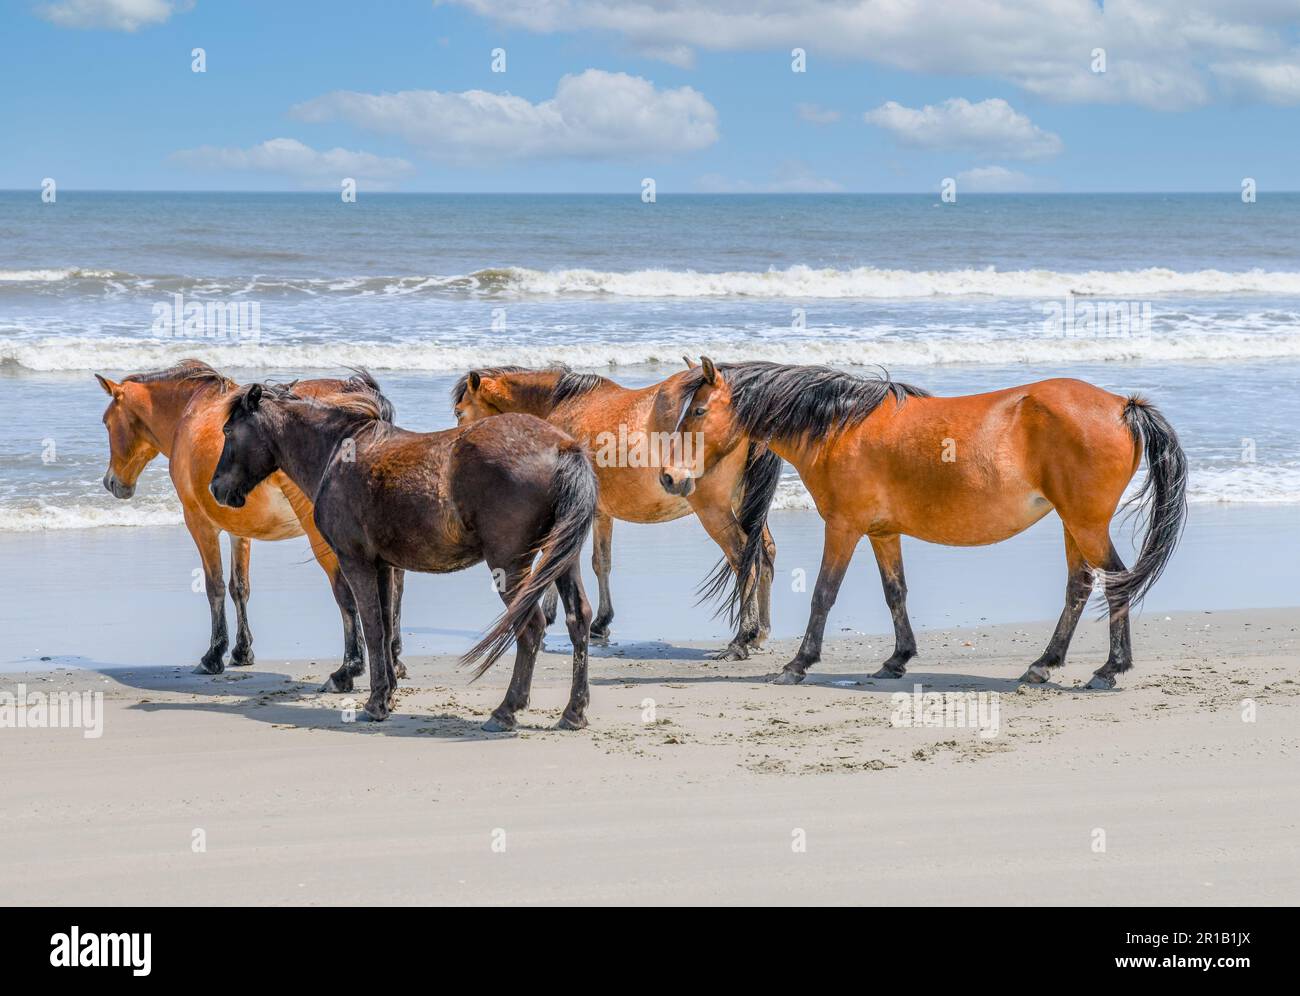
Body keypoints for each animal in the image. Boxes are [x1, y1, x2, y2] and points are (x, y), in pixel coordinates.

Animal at [96, 359, 403, 687]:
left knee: (348, 593)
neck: (189, 414)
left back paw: (348, 668)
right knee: (393, 588)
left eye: (106, 422)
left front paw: (213, 655)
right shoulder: (238, 530)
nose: (111, 482)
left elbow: (215, 586)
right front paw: (242, 651)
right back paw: (393, 658)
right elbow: (239, 587)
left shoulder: (199, 522)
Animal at [210, 381, 597, 729]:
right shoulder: (383, 566)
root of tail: (563, 447)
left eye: (228, 430)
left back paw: (506, 711)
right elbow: (384, 625)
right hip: (560, 559)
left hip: (510, 566)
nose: (216, 488)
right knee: (578, 620)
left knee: (529, 628)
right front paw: (388, 693)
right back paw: (573, 713)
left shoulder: (356, 562)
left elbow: (372, 628)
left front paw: (375, 702)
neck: (337, 454)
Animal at [452, 363, 782, 660]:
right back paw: (761, 631)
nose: (457, 449)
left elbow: (554, 559)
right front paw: (600, 621)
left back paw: (743, 638)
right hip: (743, 504)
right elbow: (601, 562)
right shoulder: (599, 512)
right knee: (765, 552)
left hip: (713, 509)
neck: (562, 405)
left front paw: (552, 615)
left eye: (459, 412)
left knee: (743, 558)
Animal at [665, 358, 1188, 691]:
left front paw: (798, 664)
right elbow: (895, 592)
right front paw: (897, 659)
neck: (839, 427)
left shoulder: (843, 527)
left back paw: (1109, 669)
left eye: (699, 410)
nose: (670, 477)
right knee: (1080, 586)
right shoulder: (882, 532)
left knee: (1115, 582)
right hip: (1073, 524)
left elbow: (823, 595)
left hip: (1086, 523)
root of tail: (1123, 406)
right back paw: (1044, 665)